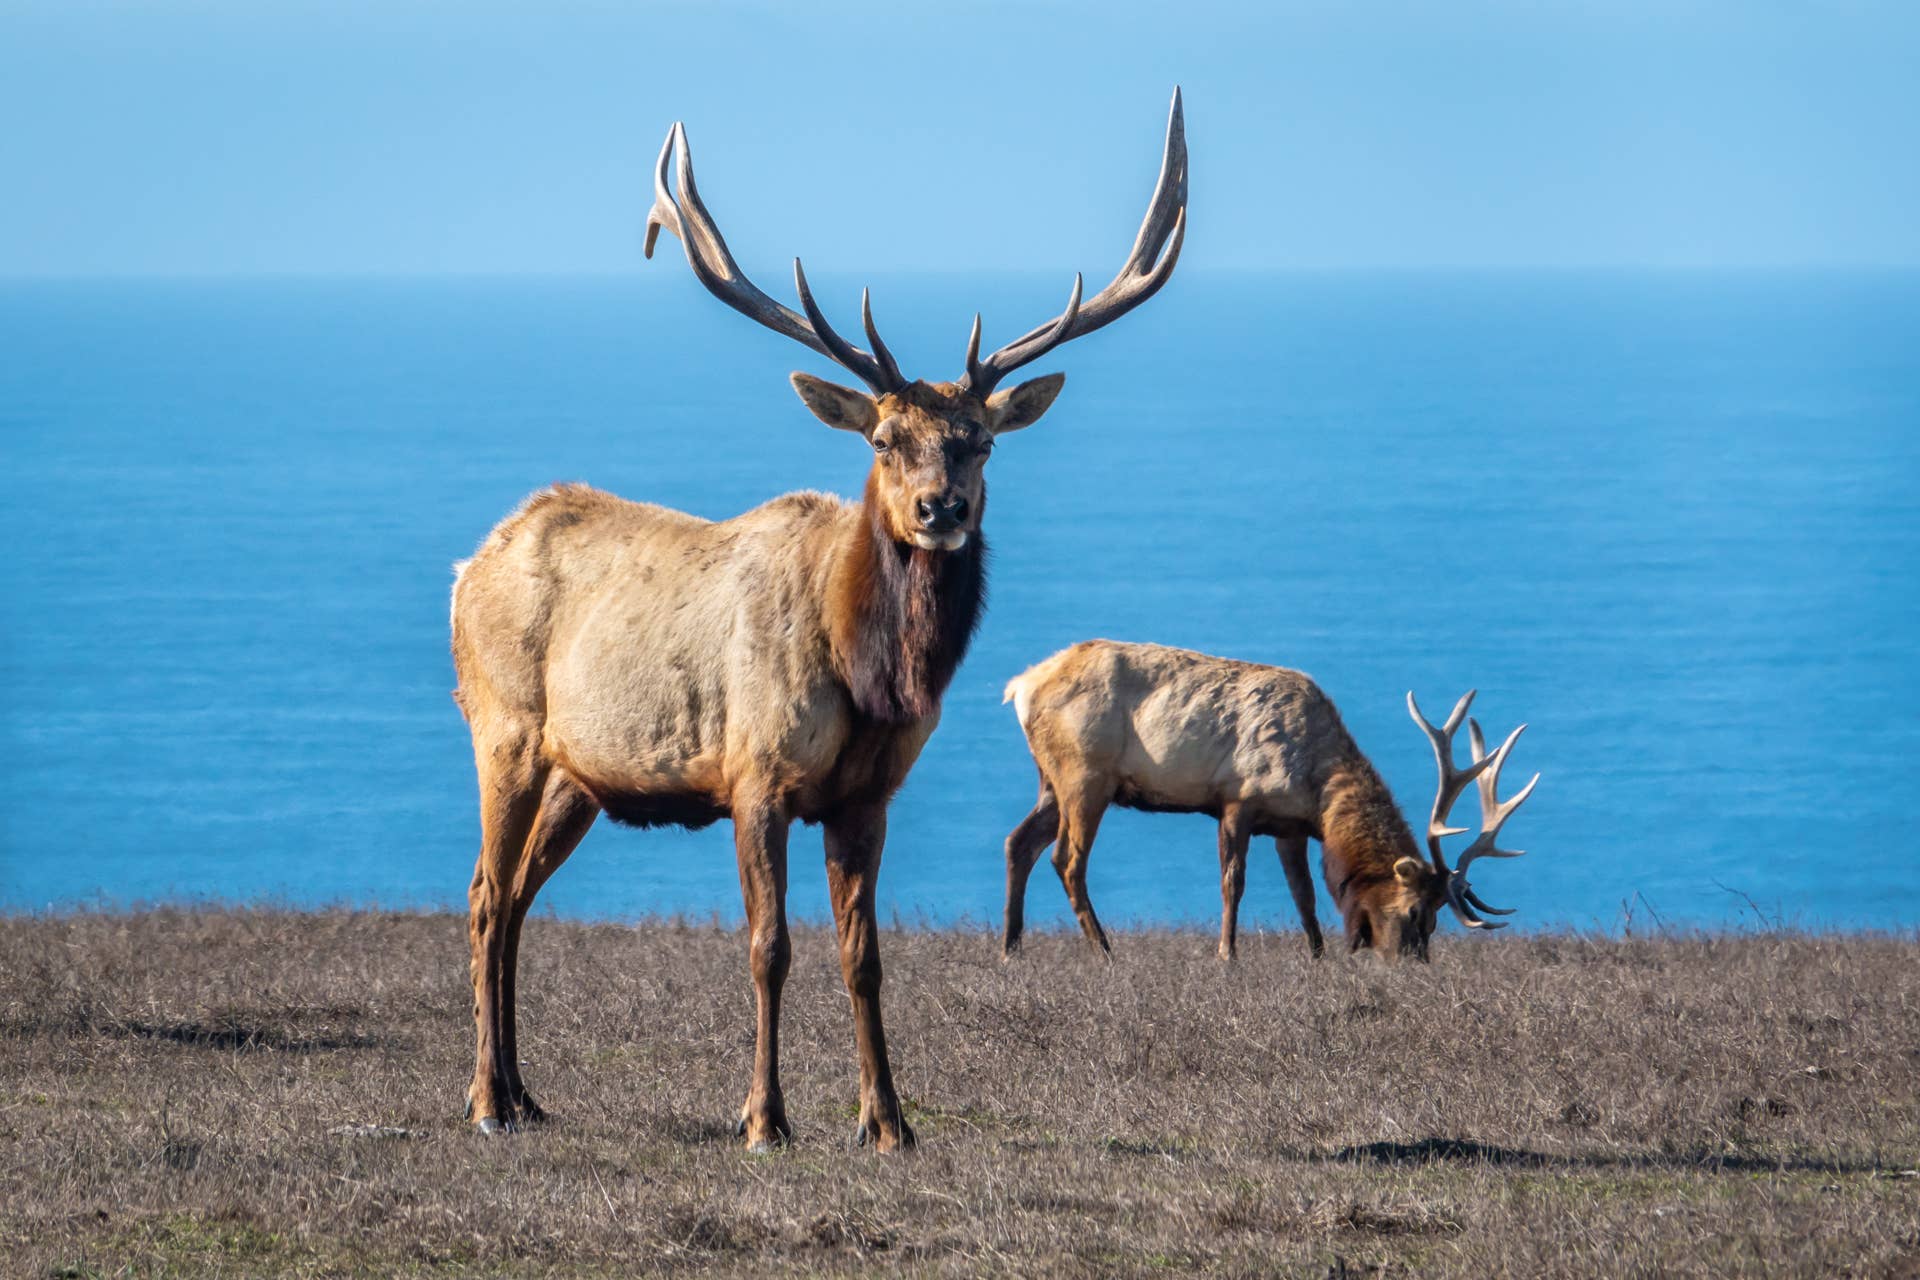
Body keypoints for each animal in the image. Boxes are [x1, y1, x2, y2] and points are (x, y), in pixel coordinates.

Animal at [448, 95, 1187, 1150]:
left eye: (980, 441)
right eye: (884, 439)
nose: (938, 509)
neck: (869, 675)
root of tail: (472, 563)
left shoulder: (867, 797)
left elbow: (862, 956)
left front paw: (888, 1122)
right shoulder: (754, 775)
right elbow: (770, 946)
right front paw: (764, 1117)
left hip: (579, 774)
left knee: (512, 898)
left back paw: (524, 1093)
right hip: (502, 730)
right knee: (481, 895)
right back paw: (482, 1101)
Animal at [999, 641, 1537, 962]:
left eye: (1436, 918)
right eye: (1413, 912)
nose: (1411, 963)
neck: (1318, 789)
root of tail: (1019, 687)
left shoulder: (1289, 828)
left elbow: (1305, 895)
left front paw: (1318, 956)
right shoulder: (1237, 800)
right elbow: (1232, 884)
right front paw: (1227, 955)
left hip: (1052, 779)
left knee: (1018, 842)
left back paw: (1011, 946)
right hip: (1085, 774)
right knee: (1067, 859)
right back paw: (1104, 950)